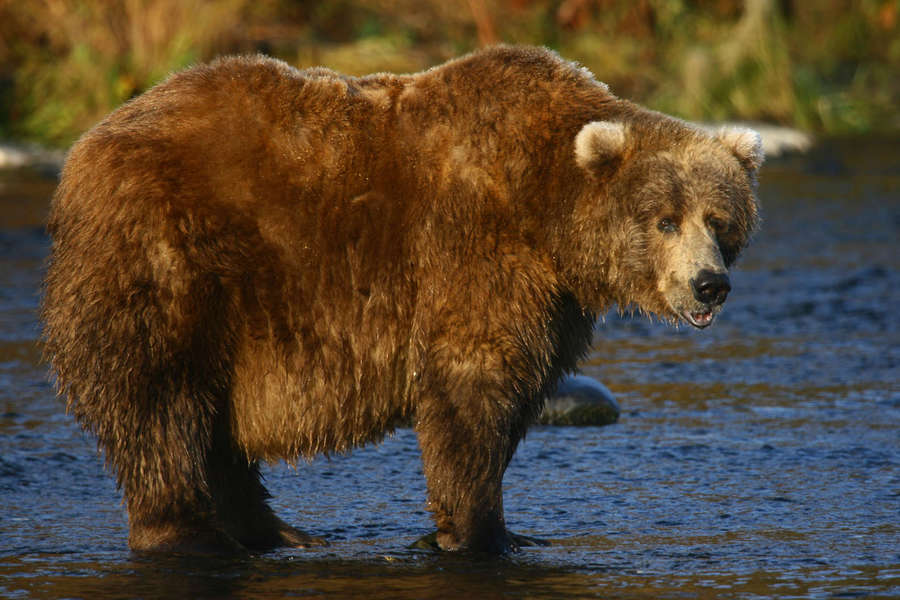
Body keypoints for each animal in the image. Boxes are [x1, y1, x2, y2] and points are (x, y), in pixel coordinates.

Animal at [41, 45, 762, 555]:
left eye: (719, 219)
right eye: (665, 219)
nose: (709, 284)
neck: (546, 211)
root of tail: (84, 147)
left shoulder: (552, 302)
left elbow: (520, 387)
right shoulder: (472, 250)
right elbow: (470, 382)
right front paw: (480, 531)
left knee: (210, 422)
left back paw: (275, 531)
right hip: (171, 257)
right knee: (162, 397)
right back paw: (191, 532)